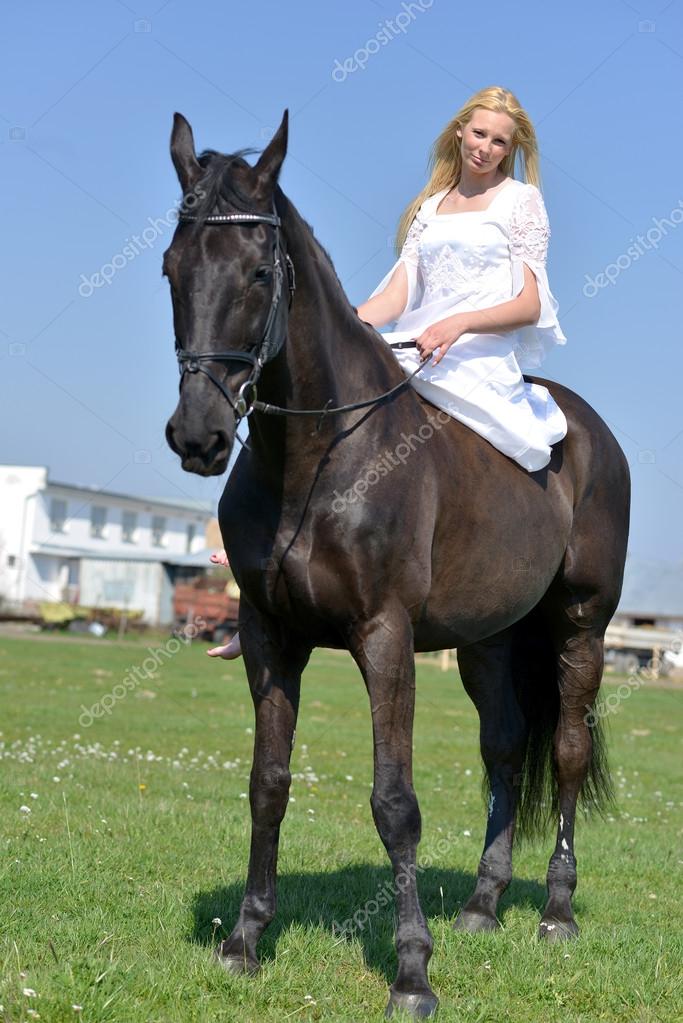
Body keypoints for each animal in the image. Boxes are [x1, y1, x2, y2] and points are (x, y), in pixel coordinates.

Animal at [163, 110, 630, 1019]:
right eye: (172, 267)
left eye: (259, 269)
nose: (198, 434)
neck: (317, 459)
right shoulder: (269, 637)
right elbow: (267, 781)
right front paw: (245, 940)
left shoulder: (383, 637)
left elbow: (395, 801)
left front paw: (411, 972)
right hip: (488, 643)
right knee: (504, 747)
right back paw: (483, 903)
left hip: (579, 628)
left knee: (563, 749)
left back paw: (555, 912)